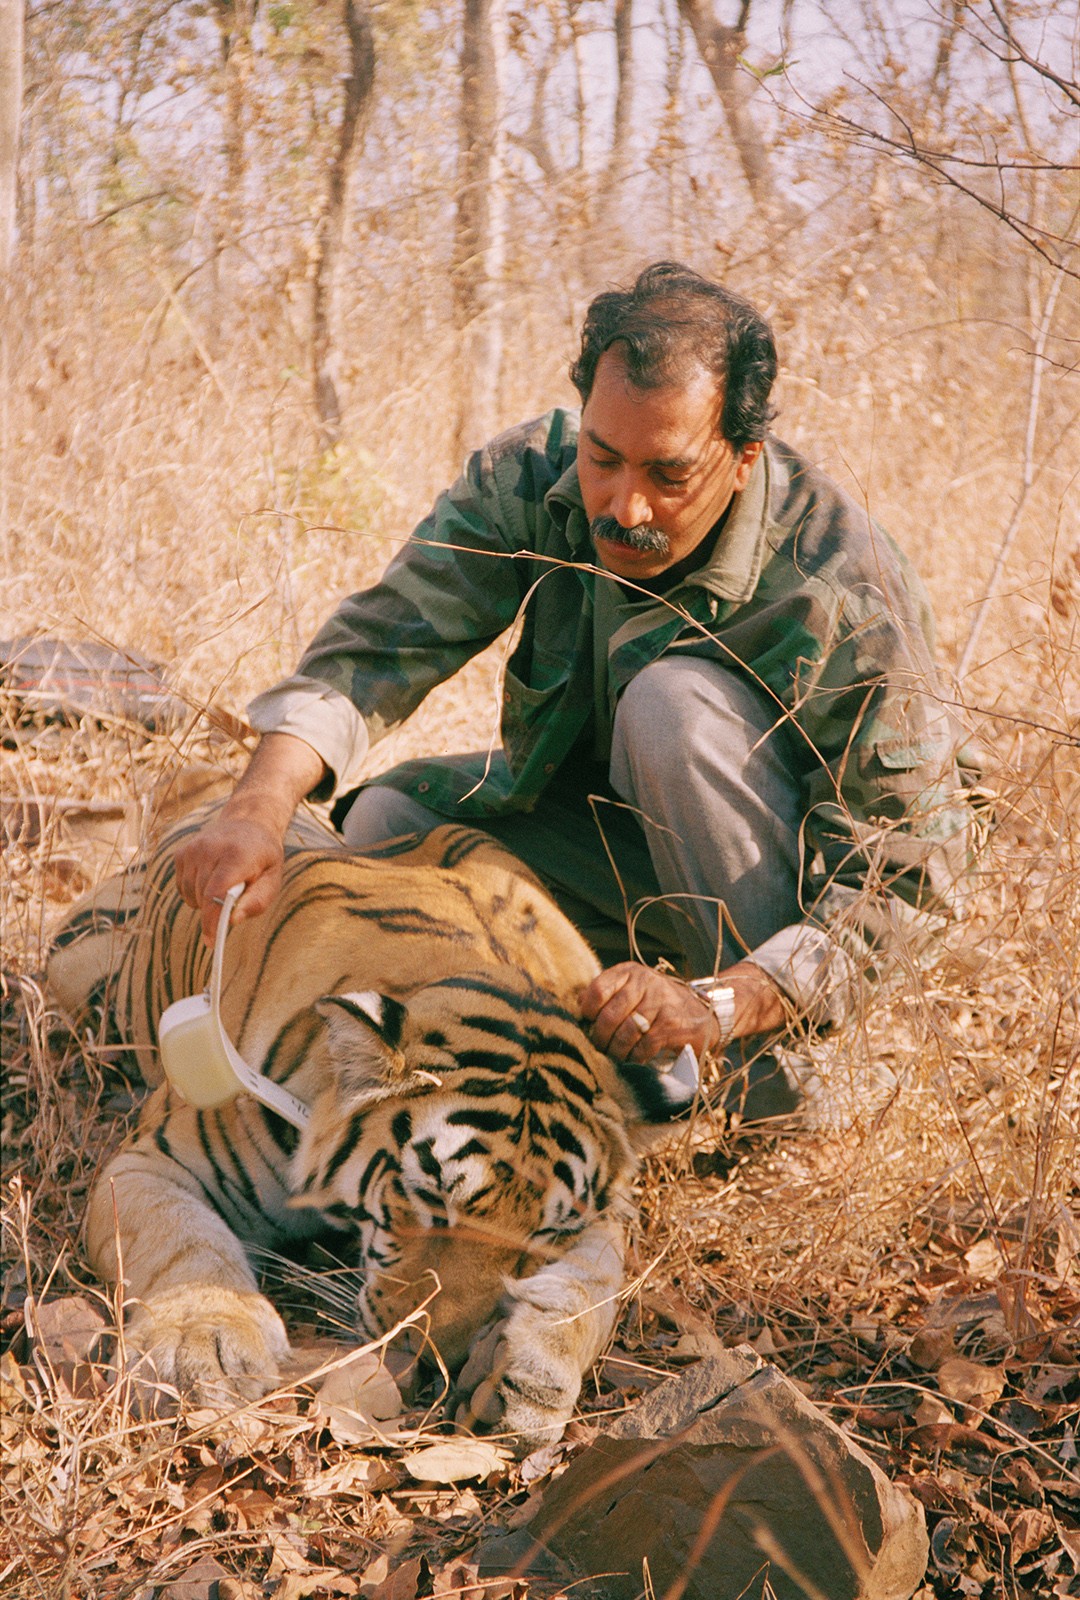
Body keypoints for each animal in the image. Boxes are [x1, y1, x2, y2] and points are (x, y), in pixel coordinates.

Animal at [47, 800, 694, 1452]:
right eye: (430, 1197)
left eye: (545, 1233)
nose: (441, 1359)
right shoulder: (154, 1162)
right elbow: (183, 1242)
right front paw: (201, 1349)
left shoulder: (609, 1212)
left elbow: (592, 1286)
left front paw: (530, 1378)